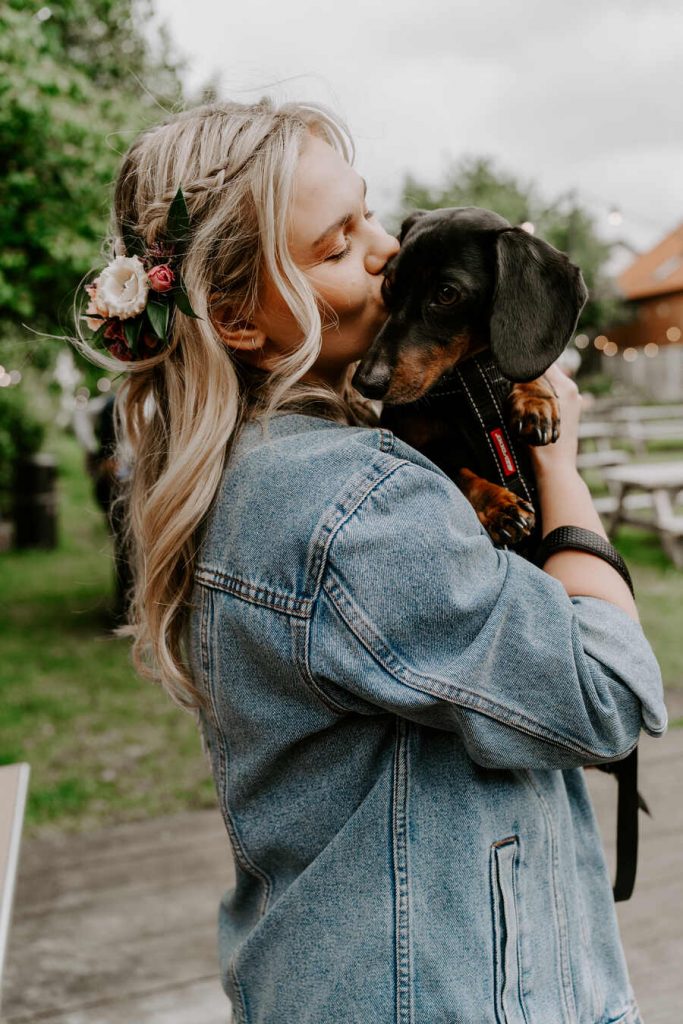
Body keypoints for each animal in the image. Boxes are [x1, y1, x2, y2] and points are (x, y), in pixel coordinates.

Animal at [352, 203, 589, 548]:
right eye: (388, 286)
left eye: (447, 293)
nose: (365, 382)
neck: (466, 381)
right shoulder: (416, 444)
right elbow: (456, 472)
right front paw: (500, 506)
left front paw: (537, 401)